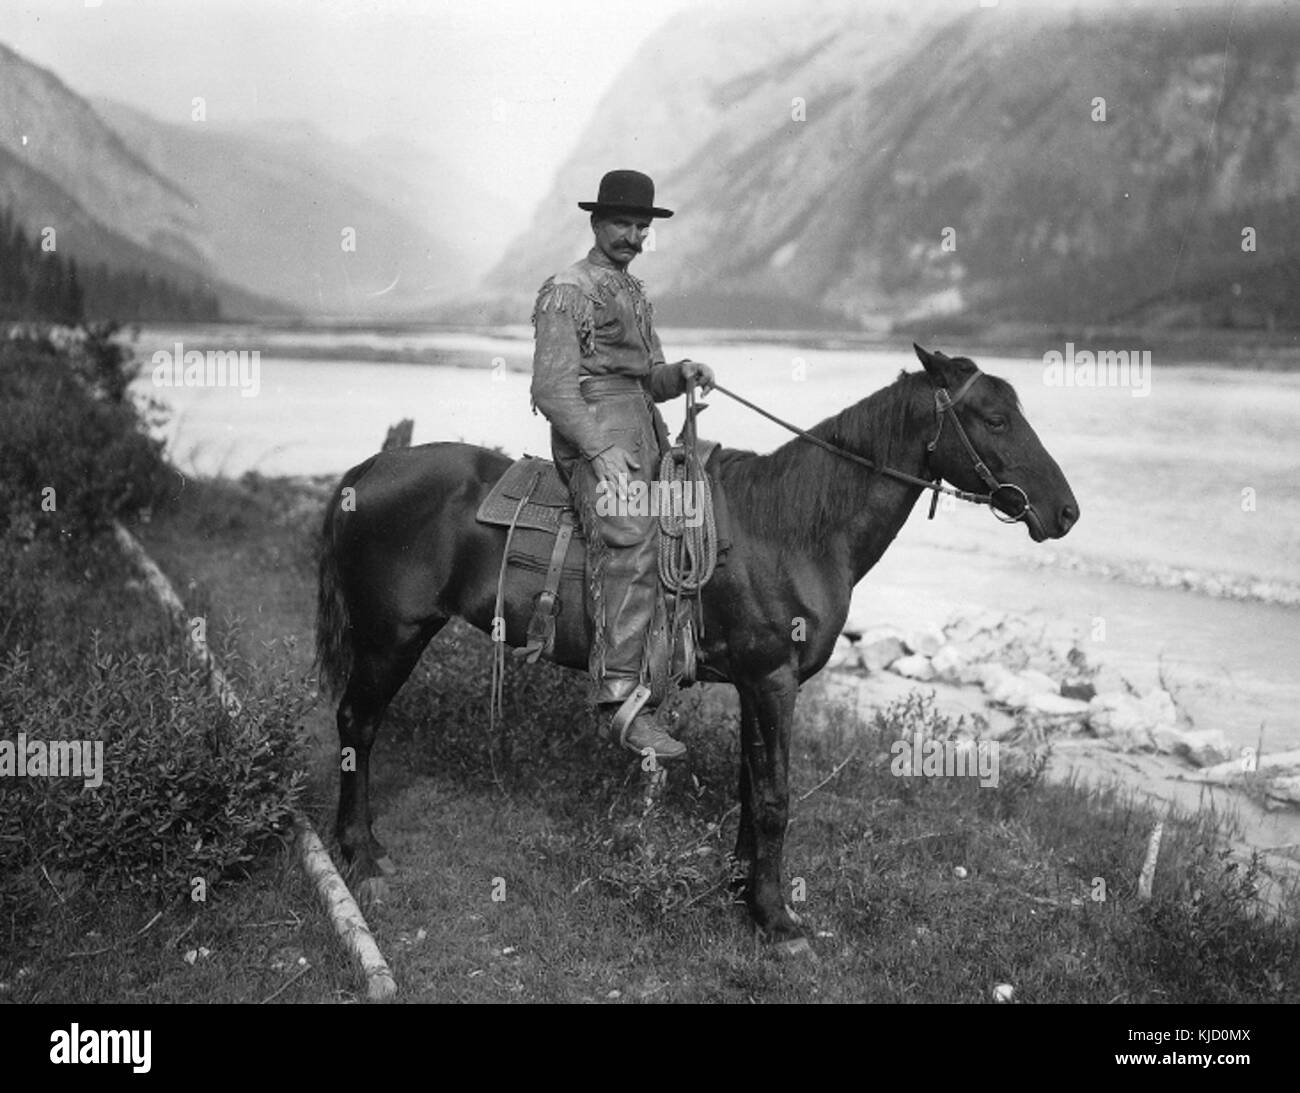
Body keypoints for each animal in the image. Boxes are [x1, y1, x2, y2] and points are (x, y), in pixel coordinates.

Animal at [314, 344, 1079, 941]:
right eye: (996, 418)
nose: (1066, 512)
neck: (794, 526)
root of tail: (367, 471)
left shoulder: (753, 683)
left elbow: (750, 784)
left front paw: (743, 890)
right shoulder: (772, 680)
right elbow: (774, 797)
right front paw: (777, 920)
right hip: (391, 636)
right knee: (358, 724)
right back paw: (362, 853)